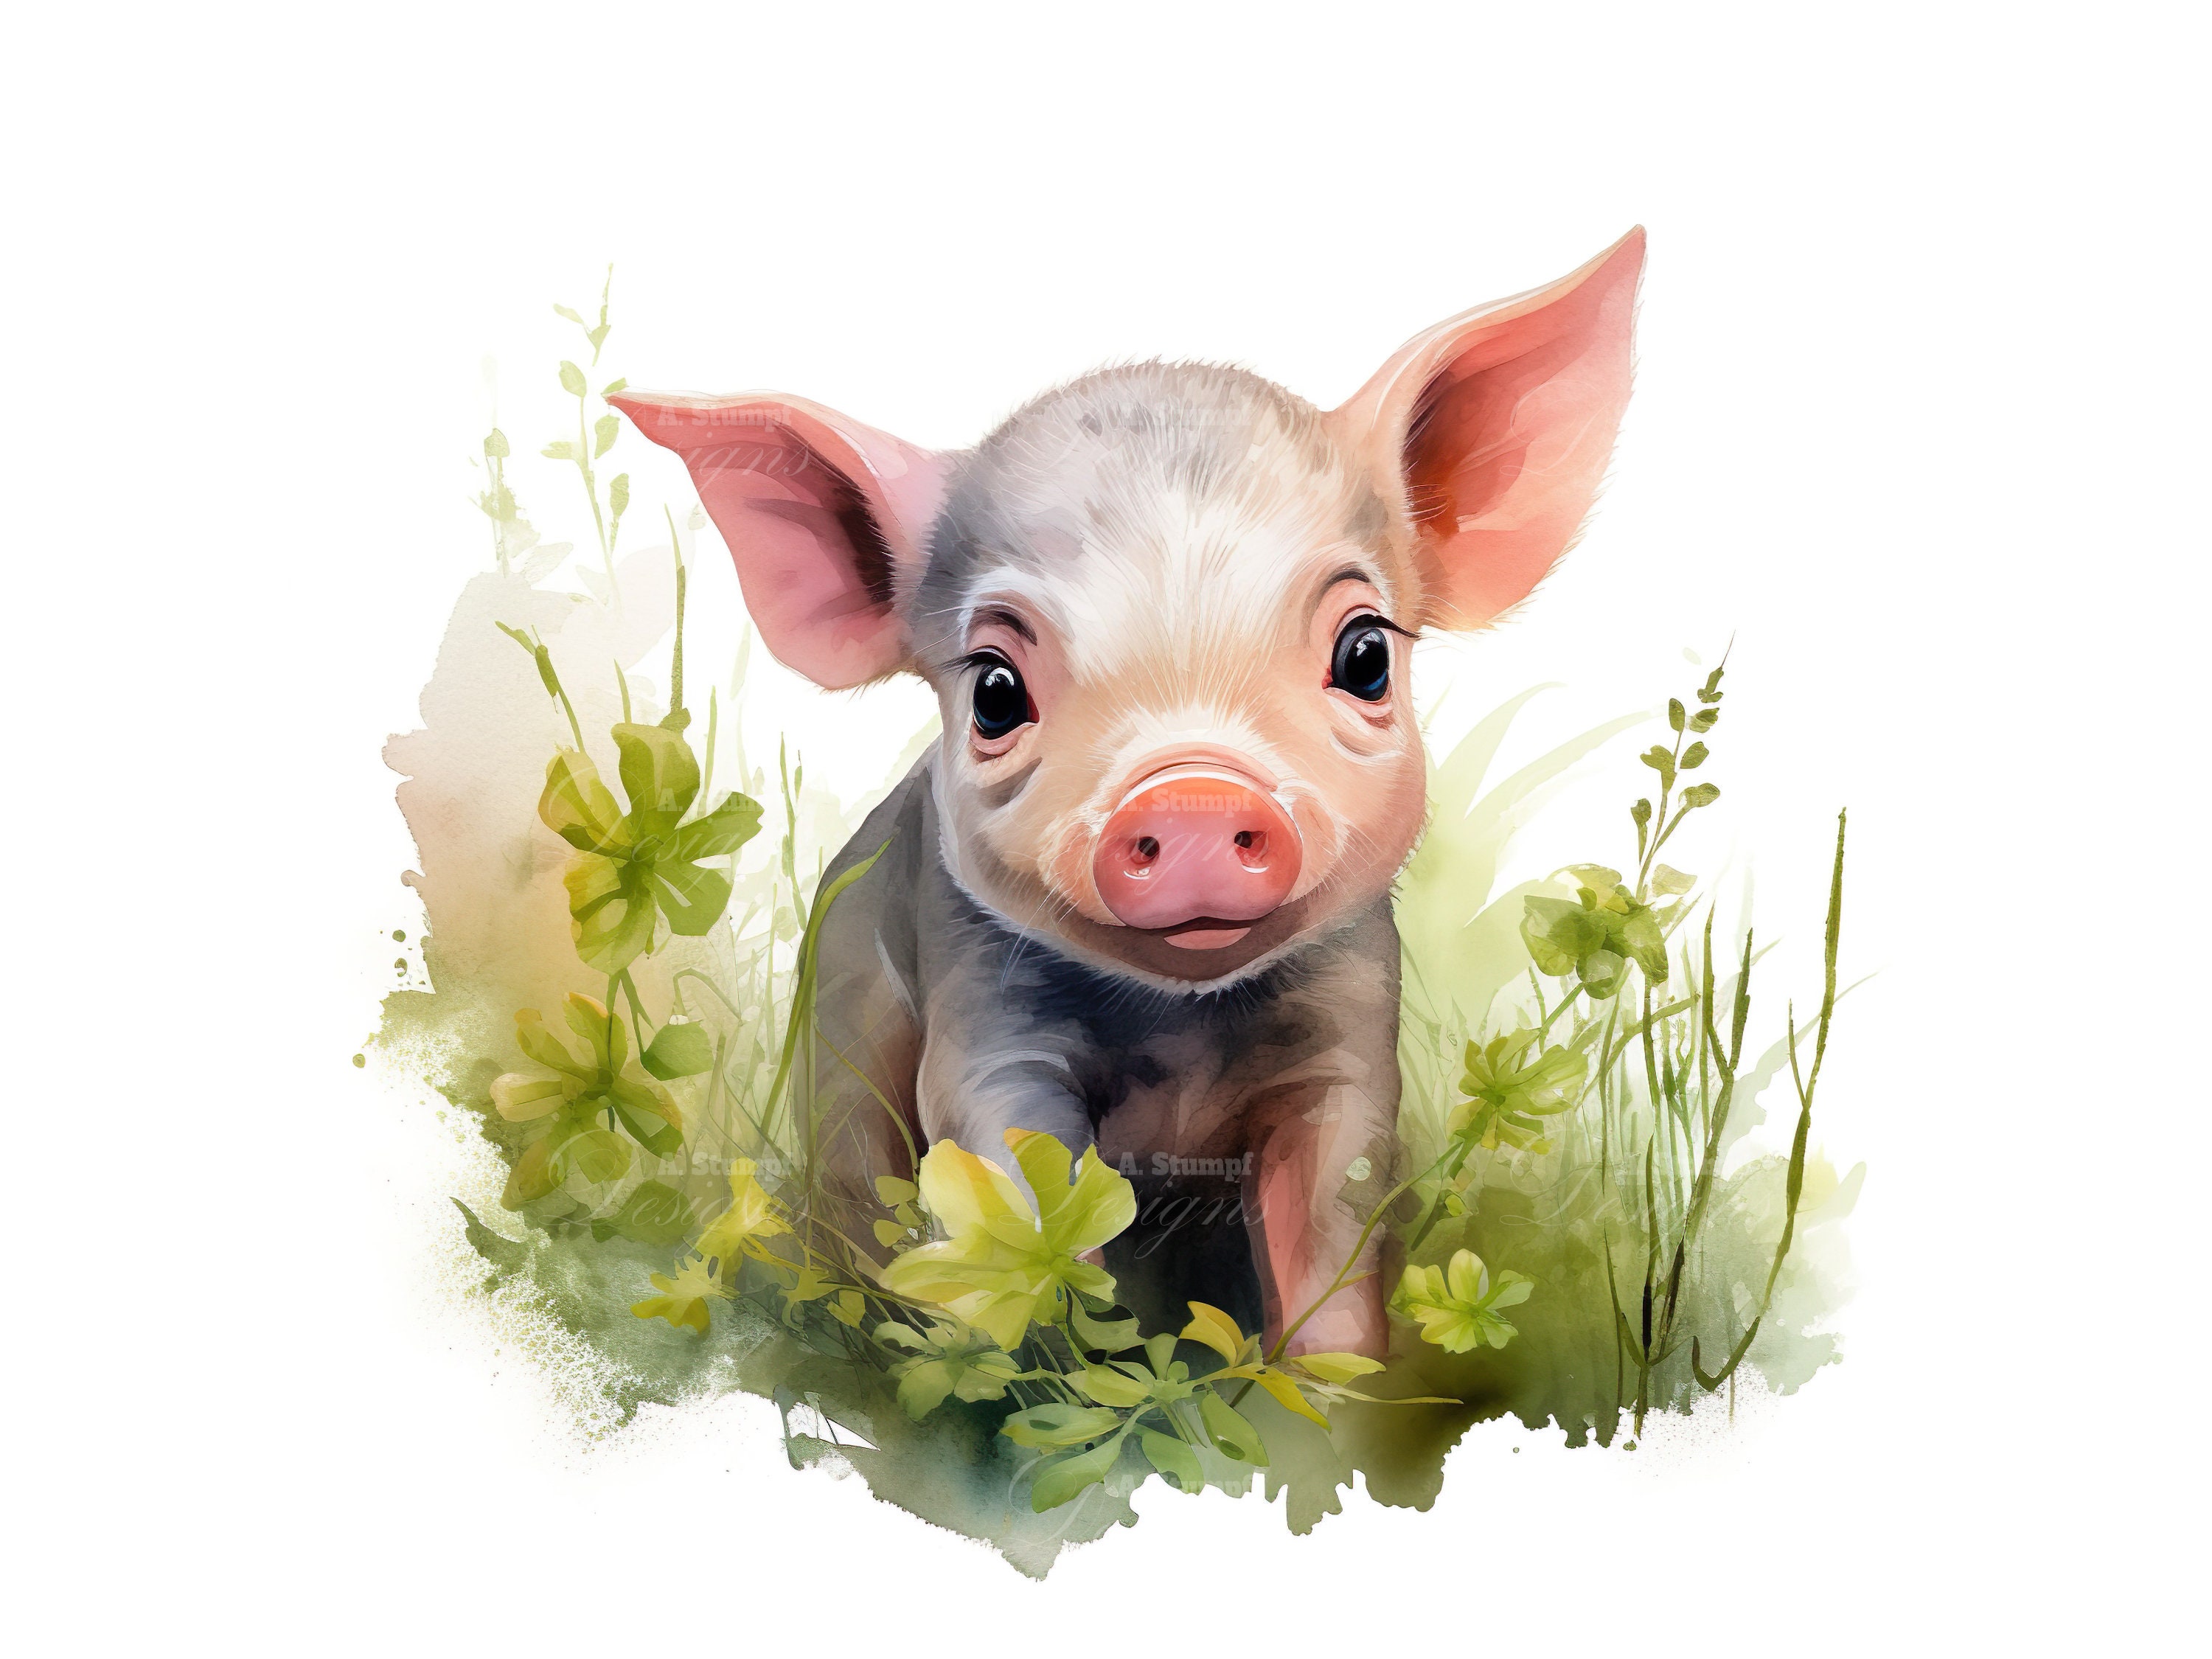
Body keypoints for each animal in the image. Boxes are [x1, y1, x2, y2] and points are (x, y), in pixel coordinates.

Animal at [613, 230, 1642, 1356]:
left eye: (1366, 655)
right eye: (995, 690)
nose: (1191, 799)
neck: (1178, 1024)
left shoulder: (1351, 1025)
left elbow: (1333, 1222)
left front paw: (1335, 1389)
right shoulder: (984, 1021)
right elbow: (1023, 1187)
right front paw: (1076, 1361)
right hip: (838, 1025)